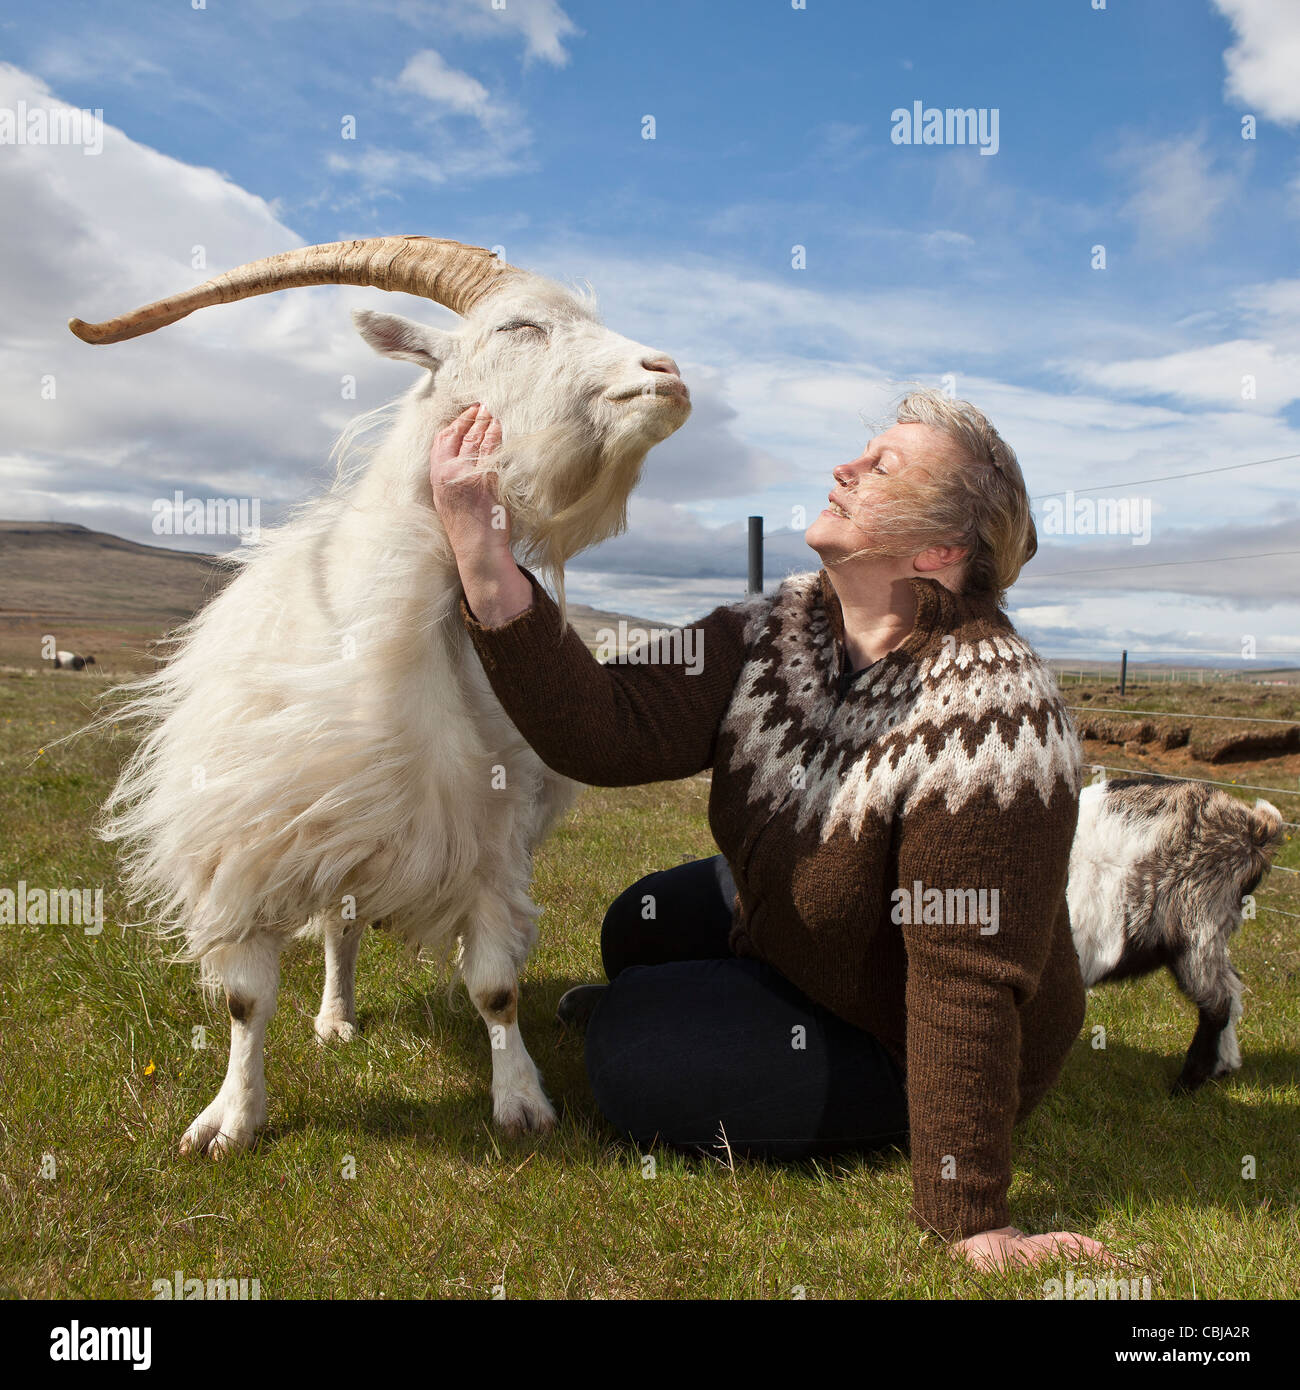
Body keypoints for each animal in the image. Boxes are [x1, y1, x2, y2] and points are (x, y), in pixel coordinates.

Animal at [68, 236, 691, 1155]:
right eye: (520, 326)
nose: (668, 372)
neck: (379, 634)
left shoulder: (490, 845)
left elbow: (496, 987)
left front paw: (521, 1102)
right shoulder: (248, 852)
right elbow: (245, 1002)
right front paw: (230, 1120)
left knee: (347, 926)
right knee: (339, 929)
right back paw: (335, 1019)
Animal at [1067, 775, 1284, 1093]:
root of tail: (1253, 827)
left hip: (1197, 922)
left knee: (1218, 1002)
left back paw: (1187, 1083)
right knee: (1232, 986)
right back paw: (1223, 1066)